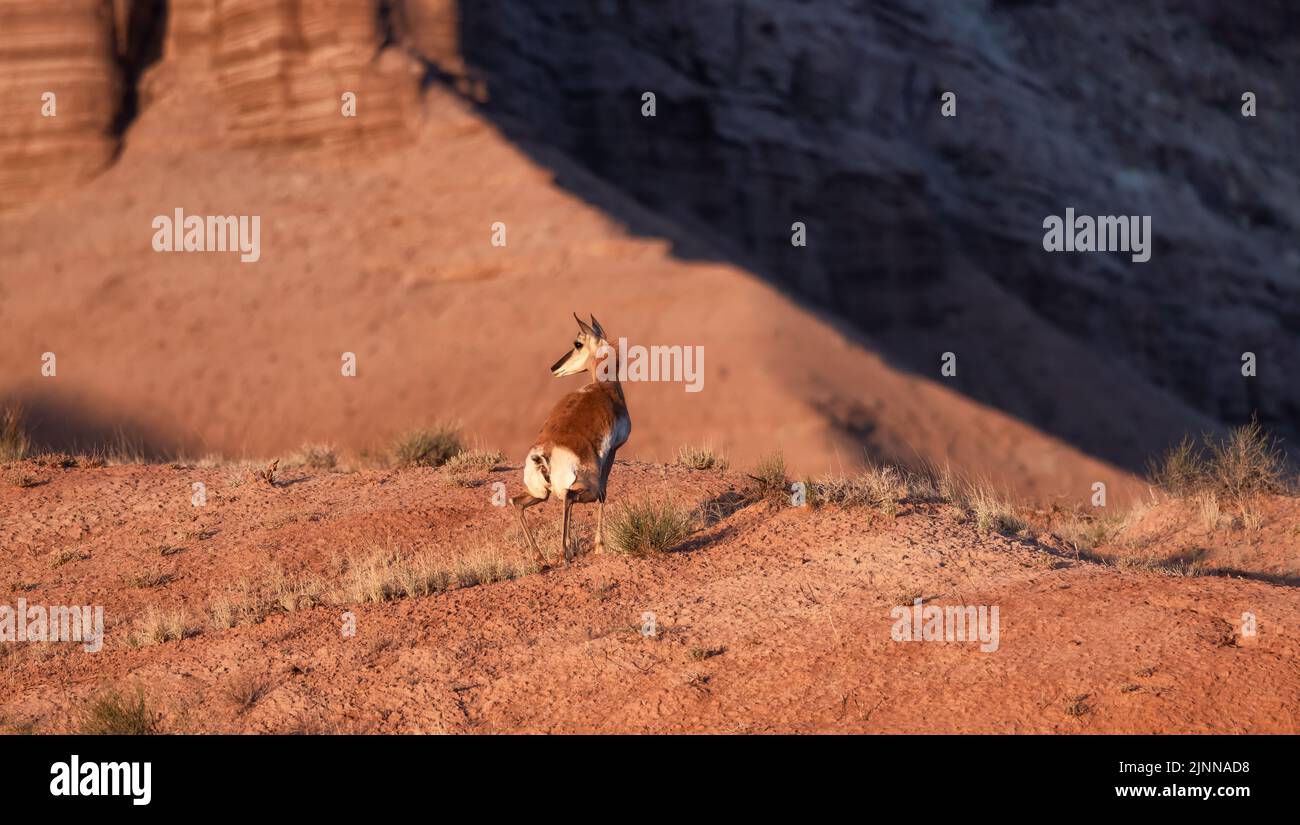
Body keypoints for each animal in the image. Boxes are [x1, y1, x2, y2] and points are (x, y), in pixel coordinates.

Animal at [511, 314, 630, 567]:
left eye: (577, 343)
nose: (554, 367)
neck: (604, 388)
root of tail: (544, 453)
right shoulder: (612, 454)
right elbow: (605, 493)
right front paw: (600, 546)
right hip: (583, 488)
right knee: (570, 498)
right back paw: (562, 554)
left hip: (539, 494)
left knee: (516, 503)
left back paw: (541, 558)